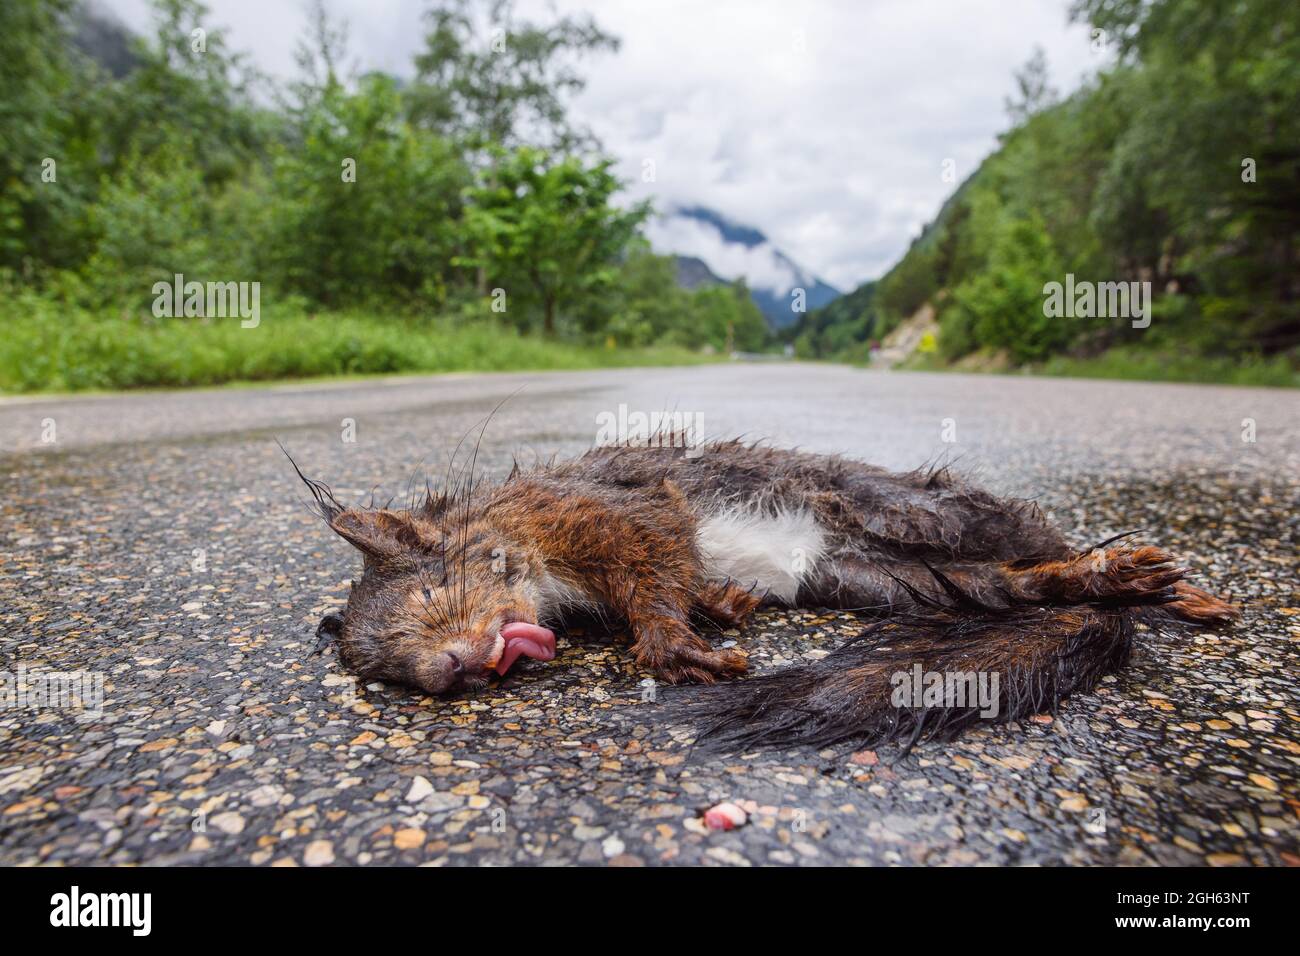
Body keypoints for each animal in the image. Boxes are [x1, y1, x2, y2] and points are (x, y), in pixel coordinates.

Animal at [292, 439, 1236, 751]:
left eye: (427, 598)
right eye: (389, 676)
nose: (447, 673)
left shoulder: (605, 511)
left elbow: (653, 567)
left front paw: (679, 647)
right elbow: (687, 579)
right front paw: (722, 607)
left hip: (919, 510)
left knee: (1046, 547)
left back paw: (1161, 587)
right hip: (895, 579)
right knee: (1010, 584)